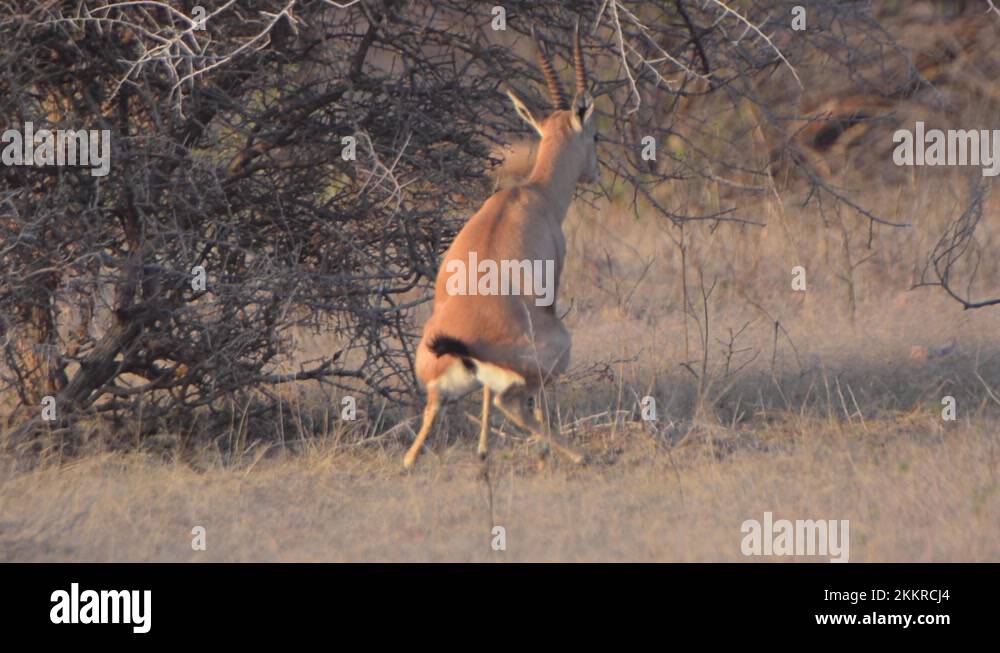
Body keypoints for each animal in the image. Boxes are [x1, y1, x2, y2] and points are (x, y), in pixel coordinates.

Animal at [402, 22, 599, 469]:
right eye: (595, 134)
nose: (594, 173)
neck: (532, 193)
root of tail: (461, 346)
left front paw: (483, 449)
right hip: (552, 352)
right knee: (512, 402)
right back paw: (576, 455)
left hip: (433, 392)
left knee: (426, 428)